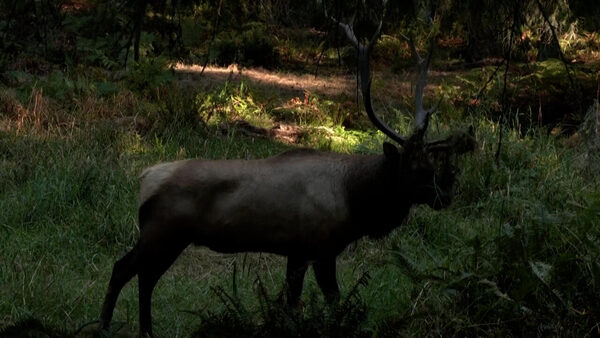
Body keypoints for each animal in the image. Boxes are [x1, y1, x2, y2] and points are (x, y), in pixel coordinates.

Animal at [97, 7, 474, 338]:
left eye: (433, 164)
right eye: (416, 169)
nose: (446, 195)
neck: (356, 201)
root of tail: (145, 178)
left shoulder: (297, 253)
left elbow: (293, 303)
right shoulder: (319, 247)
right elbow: (328, 301)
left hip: (165, 236)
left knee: (139, 275)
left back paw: (136, 329)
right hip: (163, 231)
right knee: (128, 270)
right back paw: (112, 327)